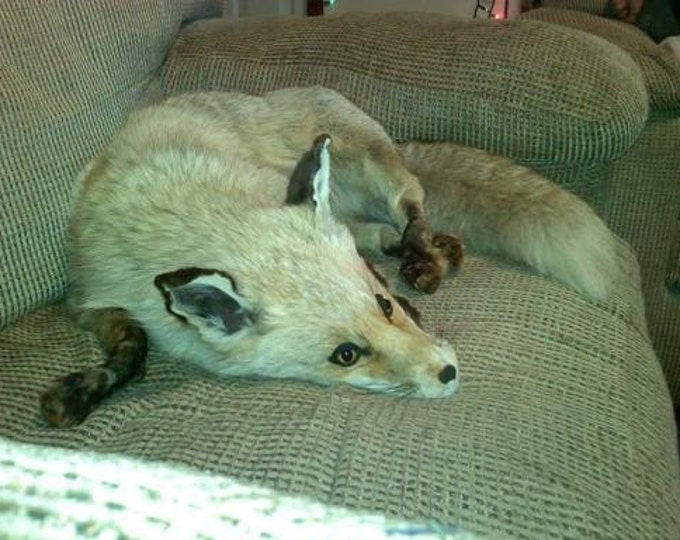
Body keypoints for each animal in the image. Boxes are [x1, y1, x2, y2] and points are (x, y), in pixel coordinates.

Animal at [39, 87, 620, 427]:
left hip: (379, 171)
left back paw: (427, 259)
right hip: (364, 217)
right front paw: (88, 389)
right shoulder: (90, 296)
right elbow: (132, 349)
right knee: (399, 237)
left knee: (415, 216)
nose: (449, 371)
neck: (182, 207)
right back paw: (436, 255)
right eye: (345, 355)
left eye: (384, 305)